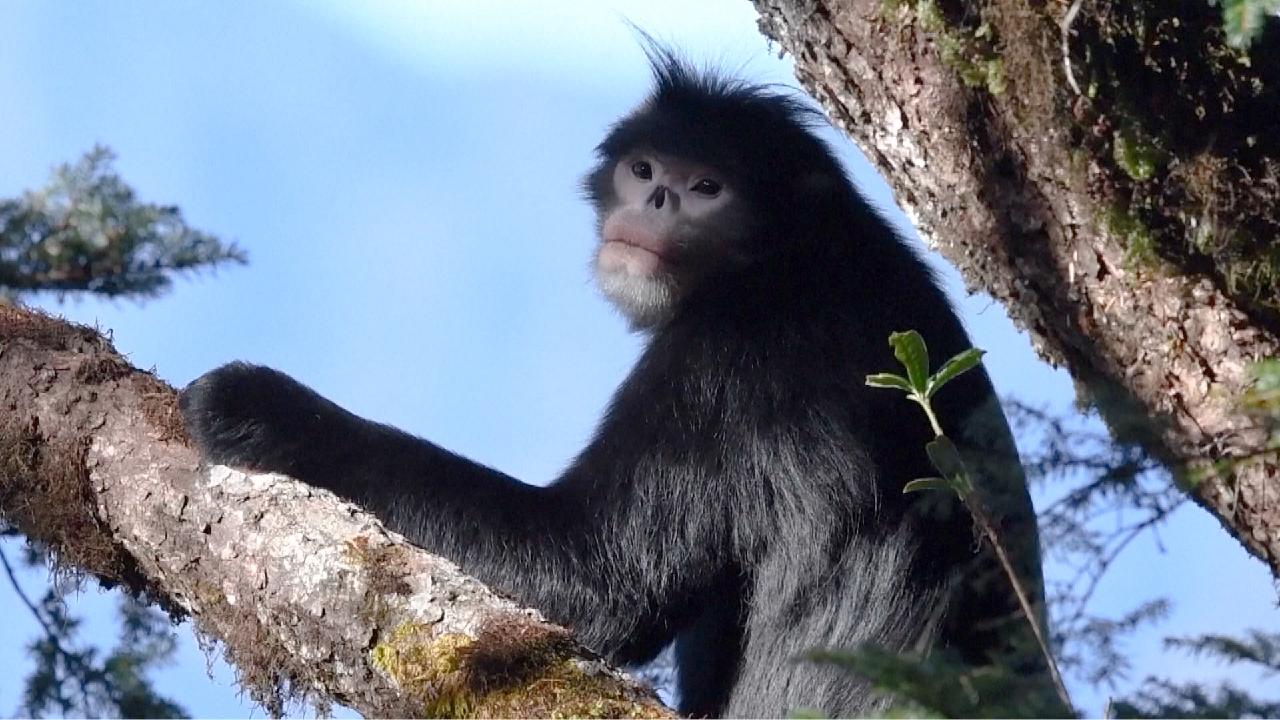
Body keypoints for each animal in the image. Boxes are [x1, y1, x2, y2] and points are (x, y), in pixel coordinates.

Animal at [180, 50, 1047, 717]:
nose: (658, 198)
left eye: (708, 188)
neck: (796, 257)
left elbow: (597, 584)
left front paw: (264, 410)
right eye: (645, 169)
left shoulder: (723, 362)